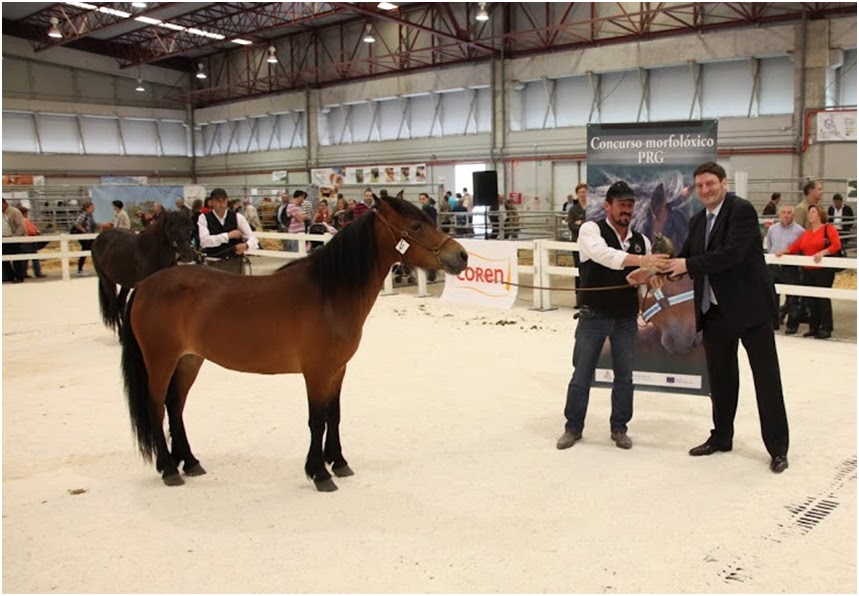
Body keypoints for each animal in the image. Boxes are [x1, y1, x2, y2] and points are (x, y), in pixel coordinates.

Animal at [119, 192, 469, 492]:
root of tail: (145, 286)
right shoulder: (316, 372)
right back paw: (168, 469)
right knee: (156, 407)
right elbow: (317, 421)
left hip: (189, 360)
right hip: (161, 361)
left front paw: (339, 463)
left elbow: (333, 416)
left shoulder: (337, 371)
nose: (461, 255)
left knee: (175, 405)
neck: (328, 295)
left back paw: (190, 463)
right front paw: (319, 474)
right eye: (415, 225)